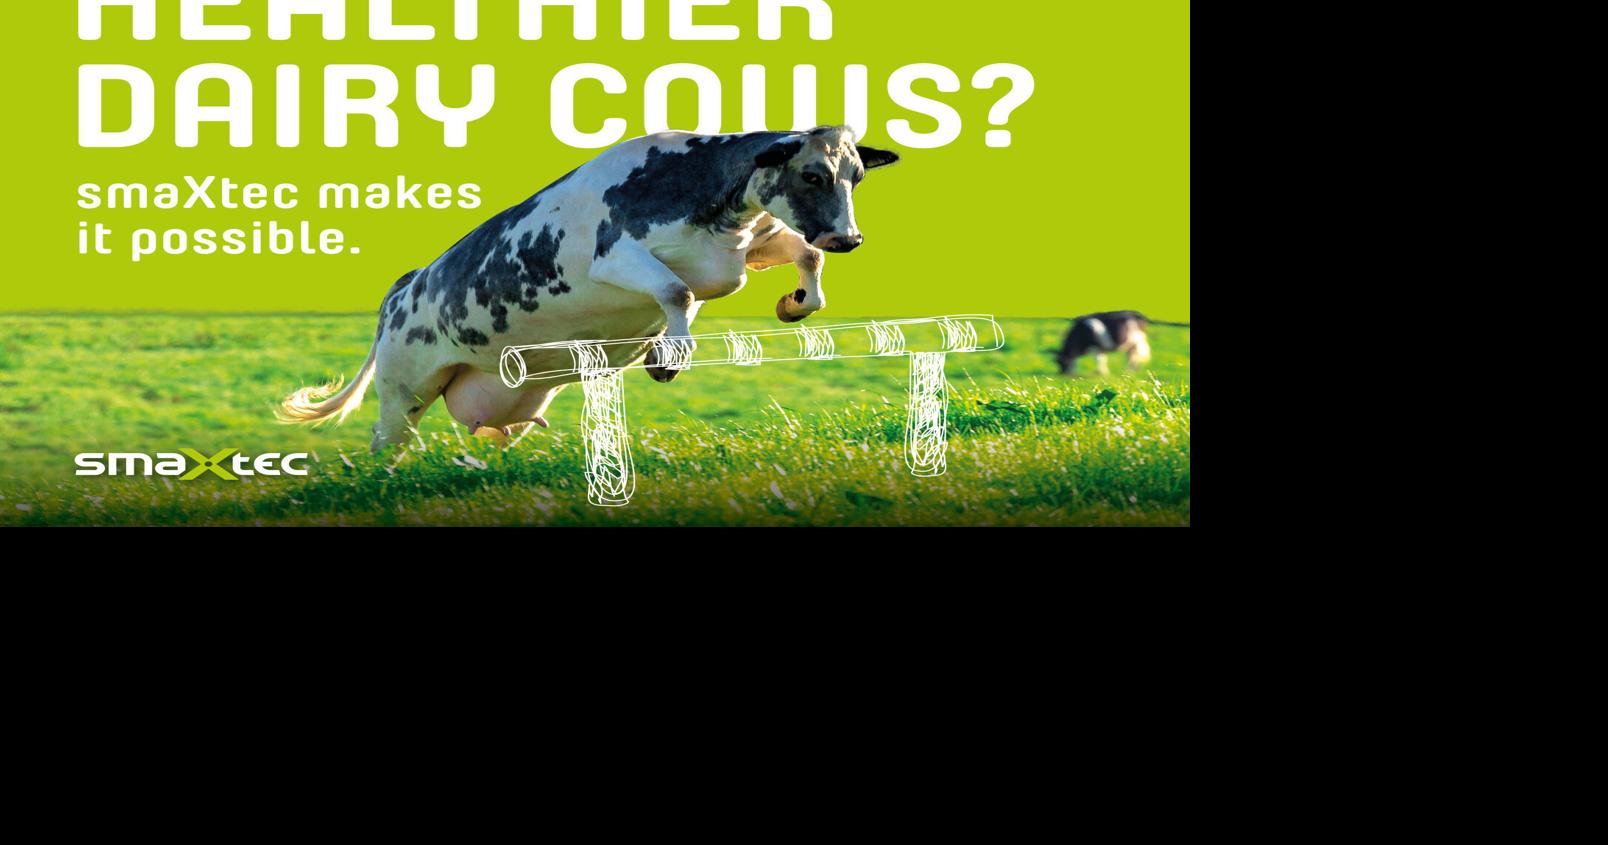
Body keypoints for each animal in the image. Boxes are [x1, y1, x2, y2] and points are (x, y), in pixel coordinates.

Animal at [278, 125, 900, 451]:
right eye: (812, 174)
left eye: (856, 176)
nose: (850, 237)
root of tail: (404, 285)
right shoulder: (616, 255)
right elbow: (678, 292)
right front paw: (669, 356)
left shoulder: (749, 246)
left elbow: (806, 255)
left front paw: (796, 303)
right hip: (403, 386)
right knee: (387, 439)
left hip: (505, 404)